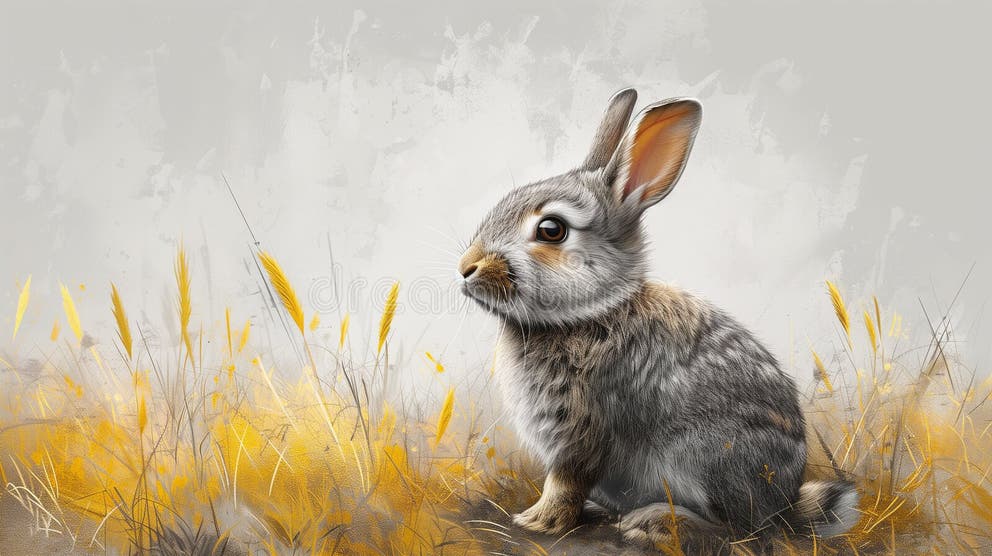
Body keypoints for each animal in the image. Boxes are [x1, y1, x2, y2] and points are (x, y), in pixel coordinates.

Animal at [457, 88, 859, 547]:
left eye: (552, 230)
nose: (466, 268)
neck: (592, 312)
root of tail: (785, 503)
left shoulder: (583, 431)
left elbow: (565, 482)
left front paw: (537, 521)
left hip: (705, 457)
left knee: (739, 531)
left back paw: (655, 522)